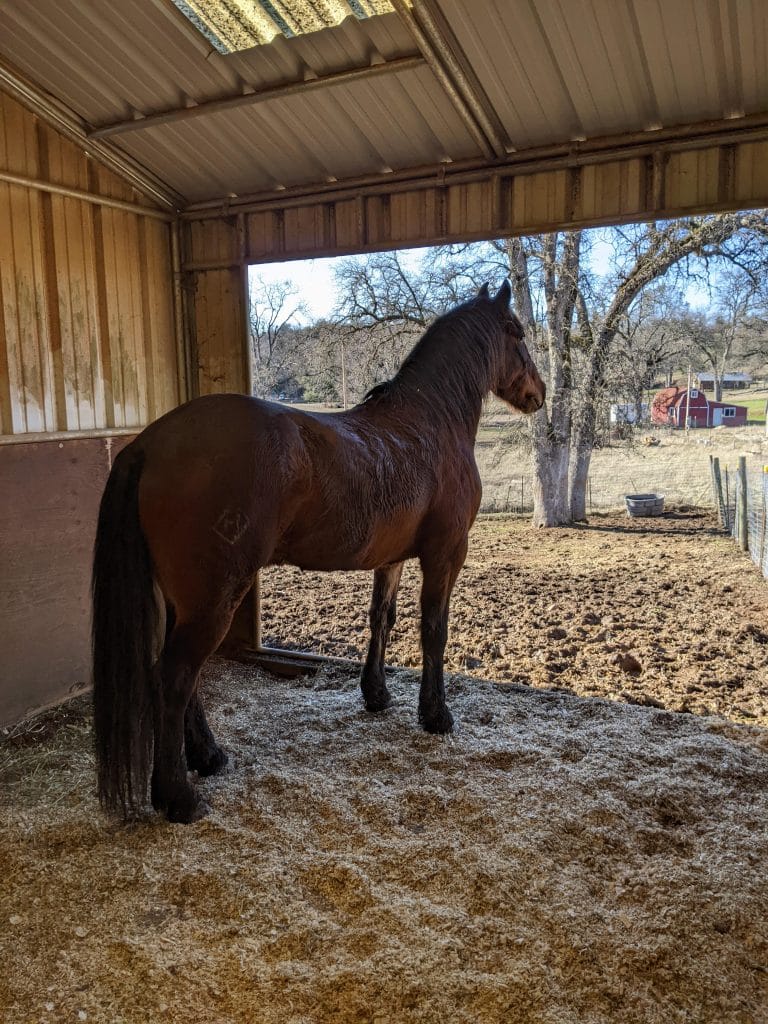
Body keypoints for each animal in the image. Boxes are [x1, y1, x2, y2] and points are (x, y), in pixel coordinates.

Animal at [91, 279, 545, 823]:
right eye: (517, 332)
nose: (539, 394)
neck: (428, 424)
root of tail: (148, 443)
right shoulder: (445, 553)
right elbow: (434, 630)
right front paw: (436, 715)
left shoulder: (391, 558)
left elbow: (381, 620)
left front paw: (377, 695)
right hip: (214, 600)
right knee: (175, 677)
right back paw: (178, 796)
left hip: (187, 602)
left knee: (182, 677)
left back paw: (209, 757)